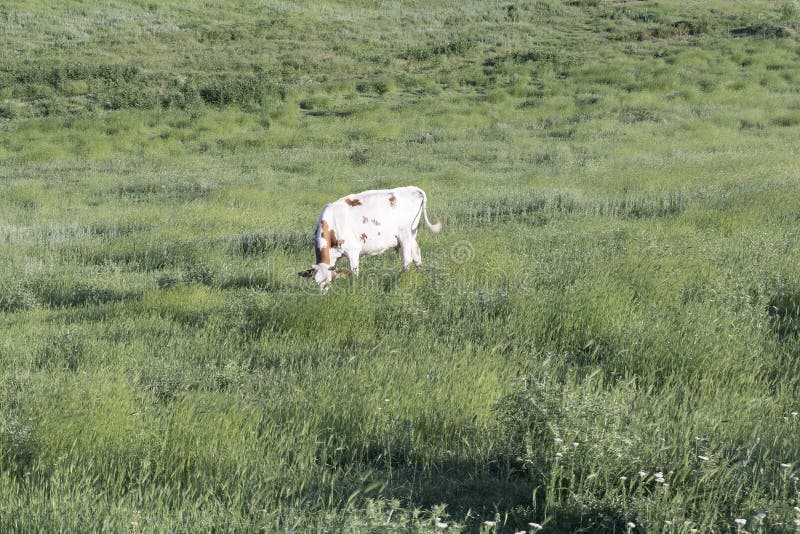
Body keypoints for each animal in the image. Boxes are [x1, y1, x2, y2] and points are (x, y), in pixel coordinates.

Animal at [298, 186, 442, 291]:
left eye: (329, 280)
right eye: (315, 281)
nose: (322, 295)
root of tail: (414, 189)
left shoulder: (353, 251)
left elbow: (354, 273)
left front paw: (355, 288)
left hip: (405, 235)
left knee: (407, 259)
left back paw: (401, 279)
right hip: (411, 235)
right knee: (417, 254)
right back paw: (420, 276)